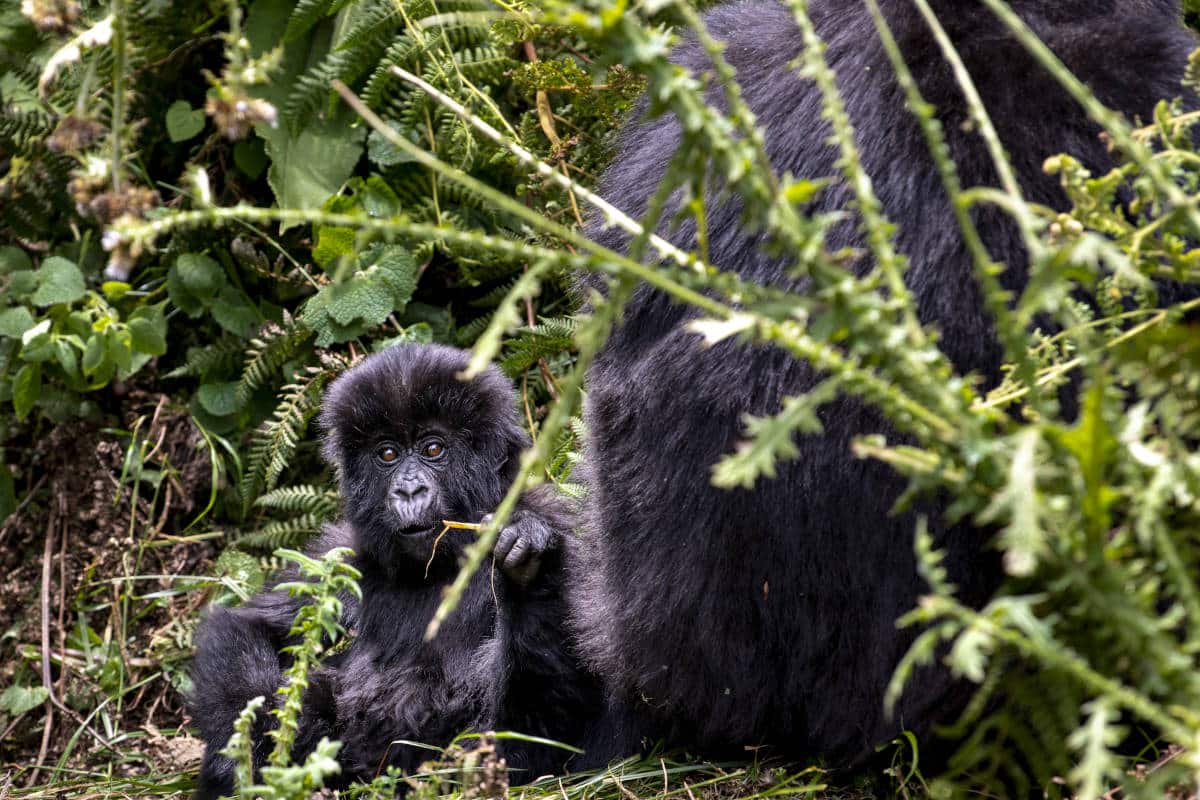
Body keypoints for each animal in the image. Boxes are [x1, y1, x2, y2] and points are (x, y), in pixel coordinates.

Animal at [188, 344, 596, 798]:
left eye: (433, 449)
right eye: (387, 454)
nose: (408, 489)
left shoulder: (560, 525)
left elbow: (540, 732)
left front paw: (529, 571)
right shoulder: (342, 553)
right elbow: (246, 626)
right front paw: (242, 756)